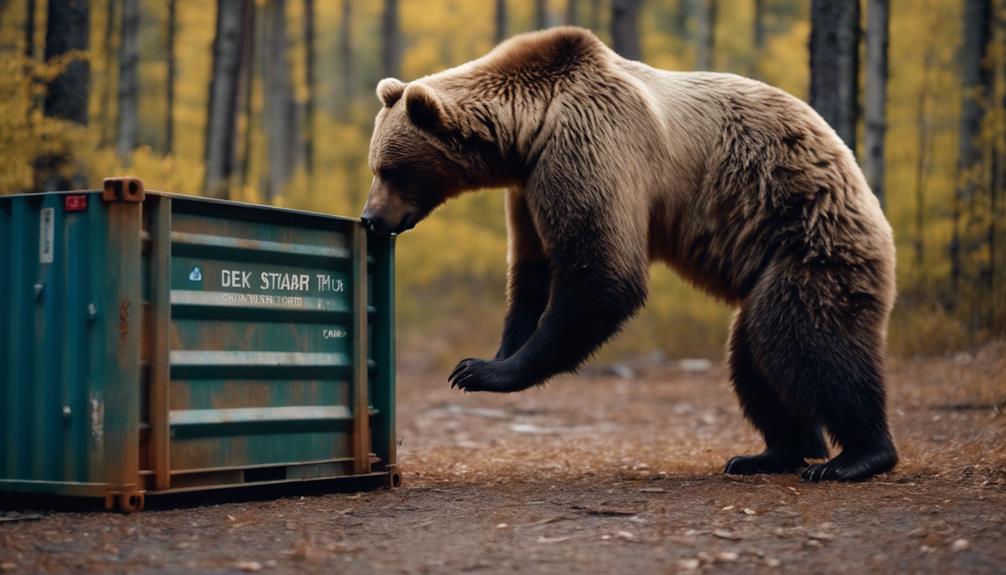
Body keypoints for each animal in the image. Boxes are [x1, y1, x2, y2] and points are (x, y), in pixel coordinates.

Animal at [361, 27, 898, 482]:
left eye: (390, 169)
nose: (370, 218)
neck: (530, 128)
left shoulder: (589, 147)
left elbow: (601, 273)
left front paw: (482, 371)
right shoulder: (530, 185)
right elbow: (534, 272)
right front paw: (497, 353)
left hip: (807, 235)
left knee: (809, 340)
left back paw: (856, 456)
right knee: (754, 356)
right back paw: (771, 452)